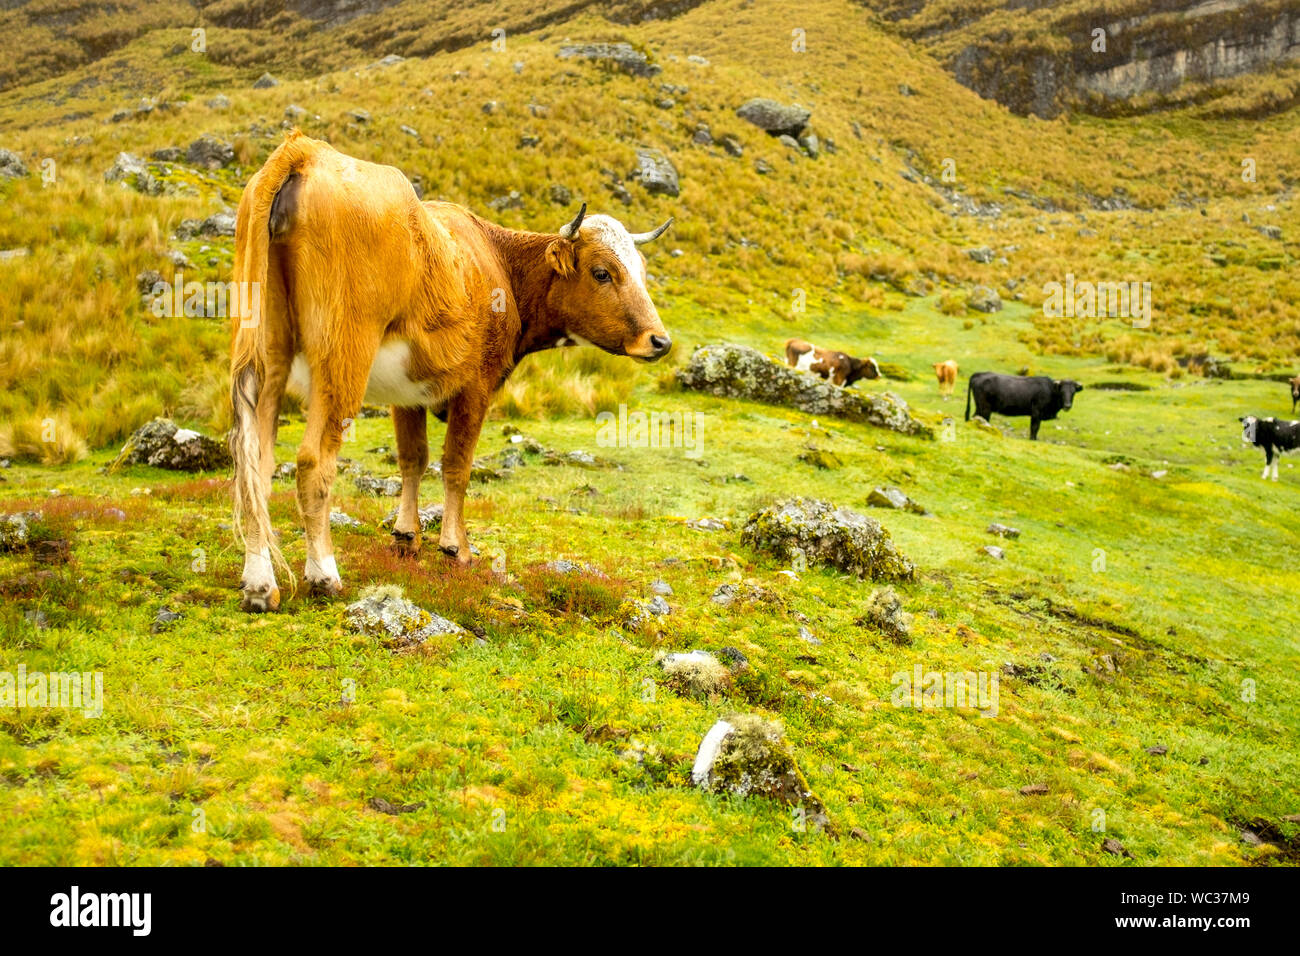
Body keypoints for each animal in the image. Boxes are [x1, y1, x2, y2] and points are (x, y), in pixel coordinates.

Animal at [229, 132, 674, 612]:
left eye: (641, 271)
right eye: (602, 272)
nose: (659, 340)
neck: (499, 262)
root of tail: (306, 151)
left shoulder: (407, 393)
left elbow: (413, 459)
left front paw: (406, 536)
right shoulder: (476, 388)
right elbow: (457, 466)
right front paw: (455, 547)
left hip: (268, 356)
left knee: (255, 461)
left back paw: (259, 583)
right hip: (343, 359)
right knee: (314, 461)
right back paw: (323, 574)